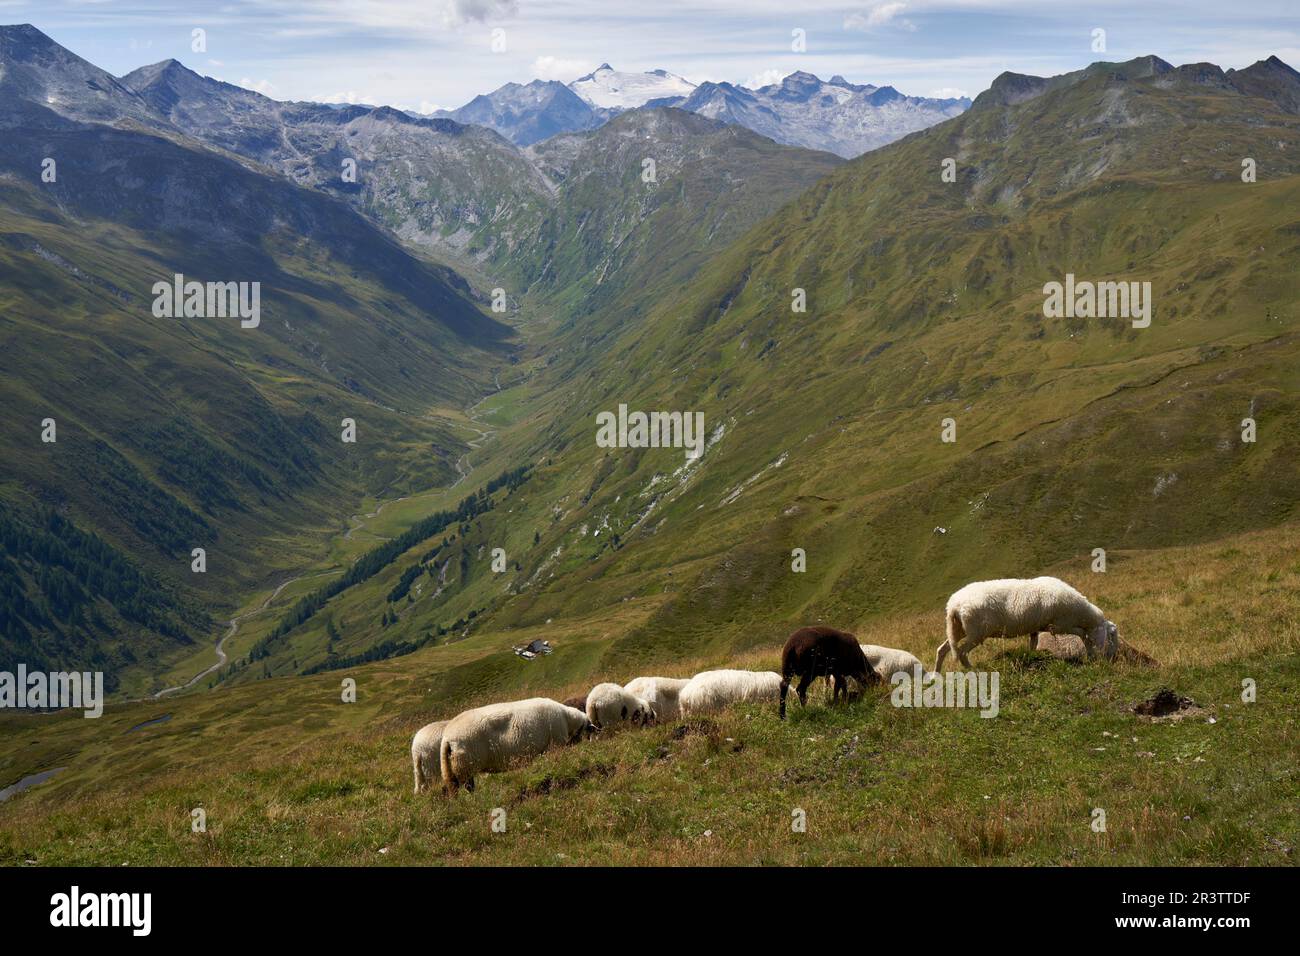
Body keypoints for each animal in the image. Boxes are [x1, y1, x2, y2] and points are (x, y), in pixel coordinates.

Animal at [439, 698, 593, 794]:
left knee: (452, 788)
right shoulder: (555, 744)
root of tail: (447, 738)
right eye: (587, 729)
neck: (567, 719)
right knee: (467, 787)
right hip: (466, 766)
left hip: (453, 769)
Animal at [935, 576, 1119, 672]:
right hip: (976, 633)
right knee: (961, 652)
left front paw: (1031, 657)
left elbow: (1033, 642)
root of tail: (953, 605)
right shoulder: (1060, 625)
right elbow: (1082, 634)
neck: (1082, 613)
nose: (1114, 657)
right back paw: (973, 670)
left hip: (958, 629)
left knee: (942, 649)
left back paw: (936, 675)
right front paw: (1090, 653)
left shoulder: (1037, 627)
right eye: (1112, 635)